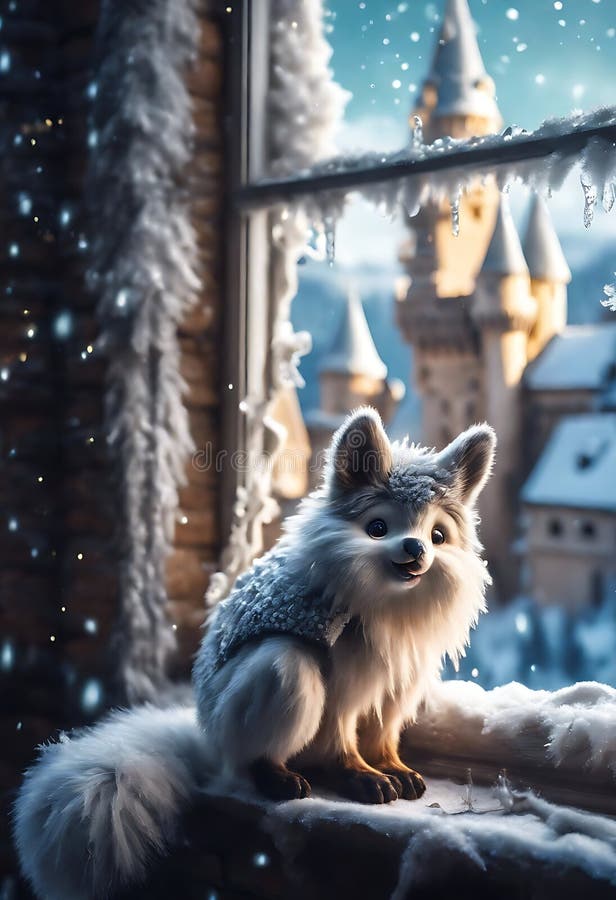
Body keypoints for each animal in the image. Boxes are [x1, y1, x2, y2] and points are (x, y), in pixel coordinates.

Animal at [14, 407, 496, 899]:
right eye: (377, 528)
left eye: (438, 536)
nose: (416, 549)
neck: (383, 601)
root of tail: (207, 736)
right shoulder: (341, 687)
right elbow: (341, 739)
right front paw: (363, 776)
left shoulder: (398, 684)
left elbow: (384, 733)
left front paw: (392, 767)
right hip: (281, 671)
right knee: (260, 739)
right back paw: (278, 777)